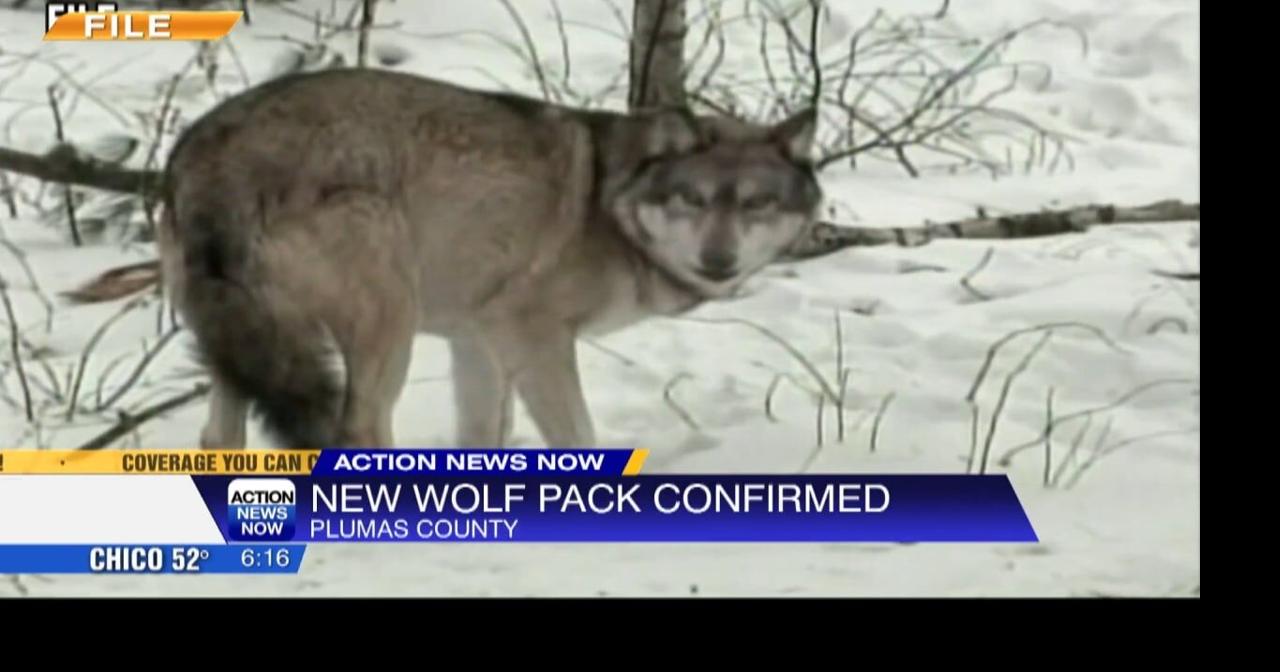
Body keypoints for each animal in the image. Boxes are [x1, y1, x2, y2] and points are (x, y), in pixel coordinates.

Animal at [71, 68, 823, 449]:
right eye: (693, 199)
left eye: (756, 204)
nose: (719, 260)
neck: (611, 203)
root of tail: (209, 152)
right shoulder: (529, 335)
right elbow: (578, 438)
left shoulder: (478, 341)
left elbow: (483, 436)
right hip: (387, 317)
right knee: (357, 430)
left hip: (241, 341)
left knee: (217, 440)